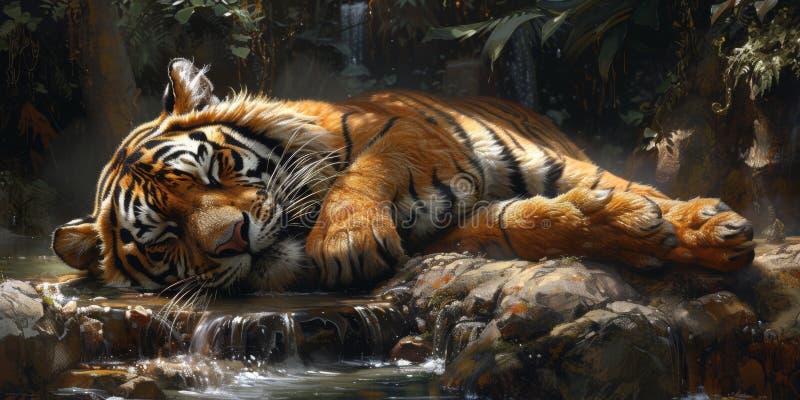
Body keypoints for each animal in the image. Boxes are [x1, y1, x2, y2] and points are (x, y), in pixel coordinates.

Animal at [51, 59, 756, 292]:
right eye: (164, 236)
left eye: (216, 169)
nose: (233, 239)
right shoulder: (455, 225)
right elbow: (523, 224)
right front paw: (633, 231)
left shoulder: (402, 129)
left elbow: (365, 170)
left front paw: (346, 239)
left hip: (548, 156)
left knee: (625, 179)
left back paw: (710, 223)